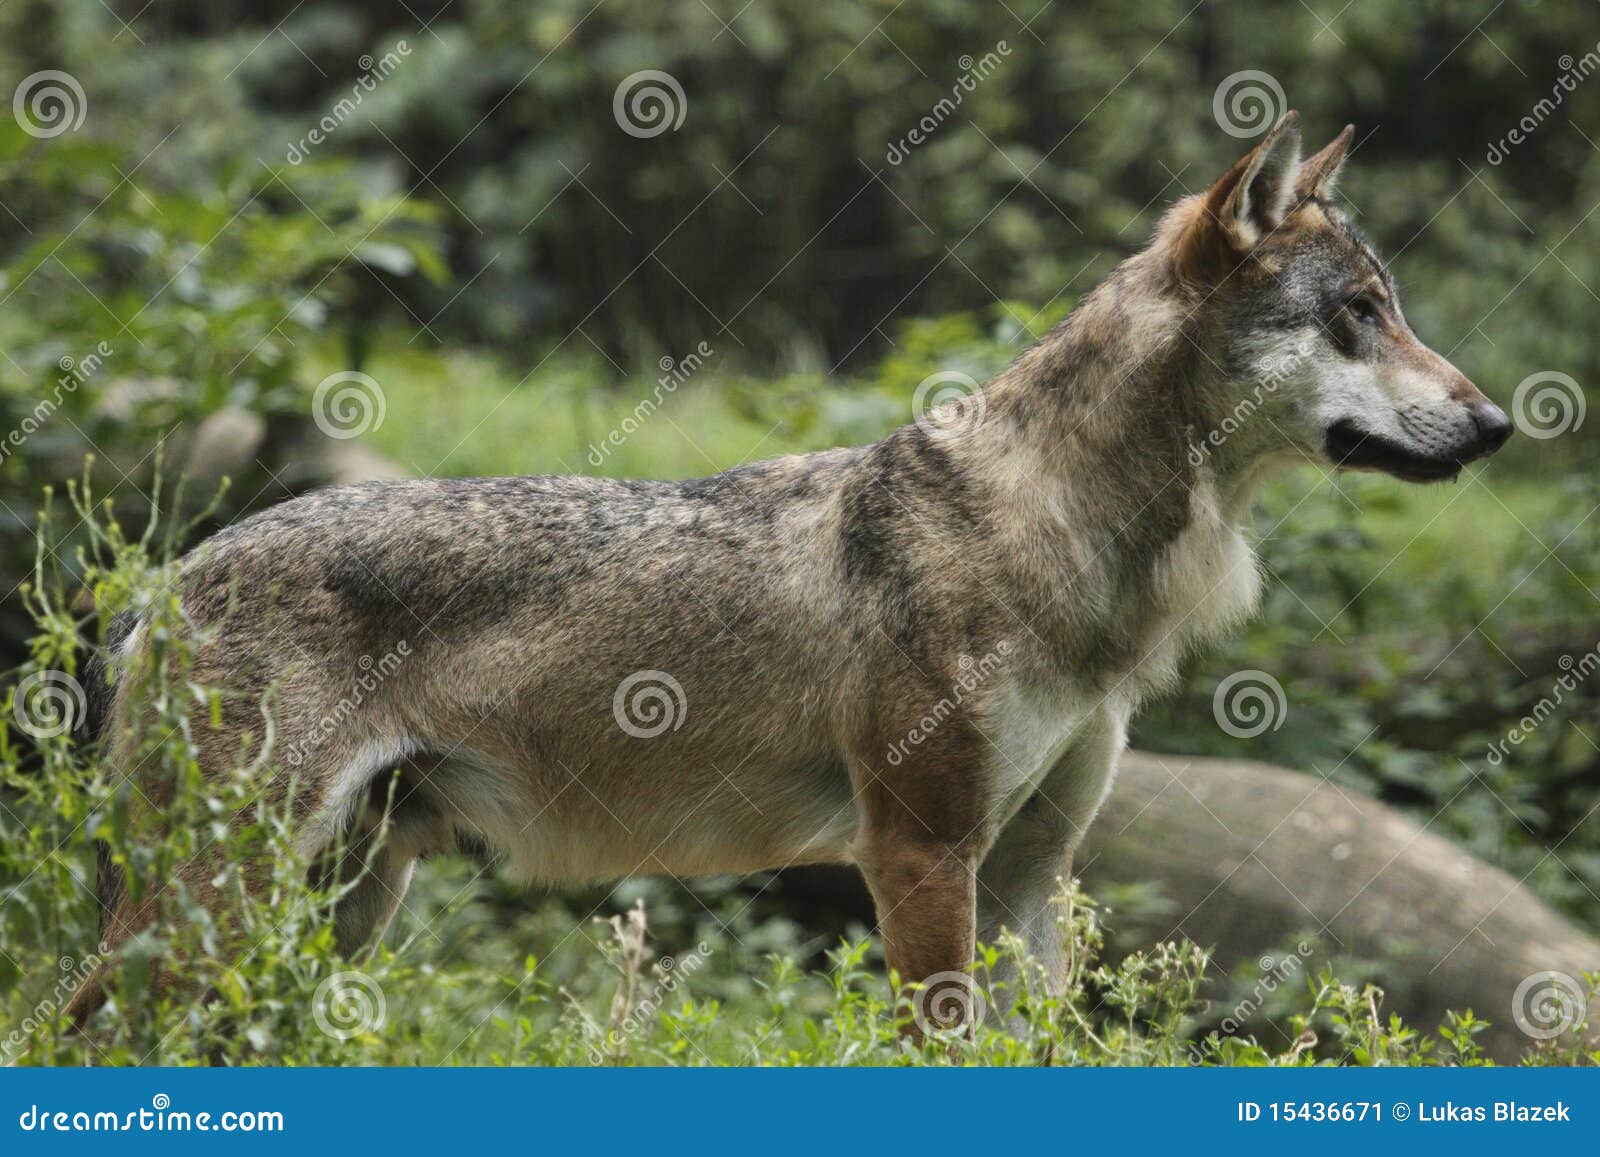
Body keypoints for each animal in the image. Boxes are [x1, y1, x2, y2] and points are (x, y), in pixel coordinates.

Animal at [67, 113, 1511, 1034]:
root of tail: (169, 576)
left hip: (332, 906)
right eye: (1360, 315)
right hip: (217, 896)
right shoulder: (919, 853)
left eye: (1396, 309)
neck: (1070, 539)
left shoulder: (1030, 876)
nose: (1500, 423)